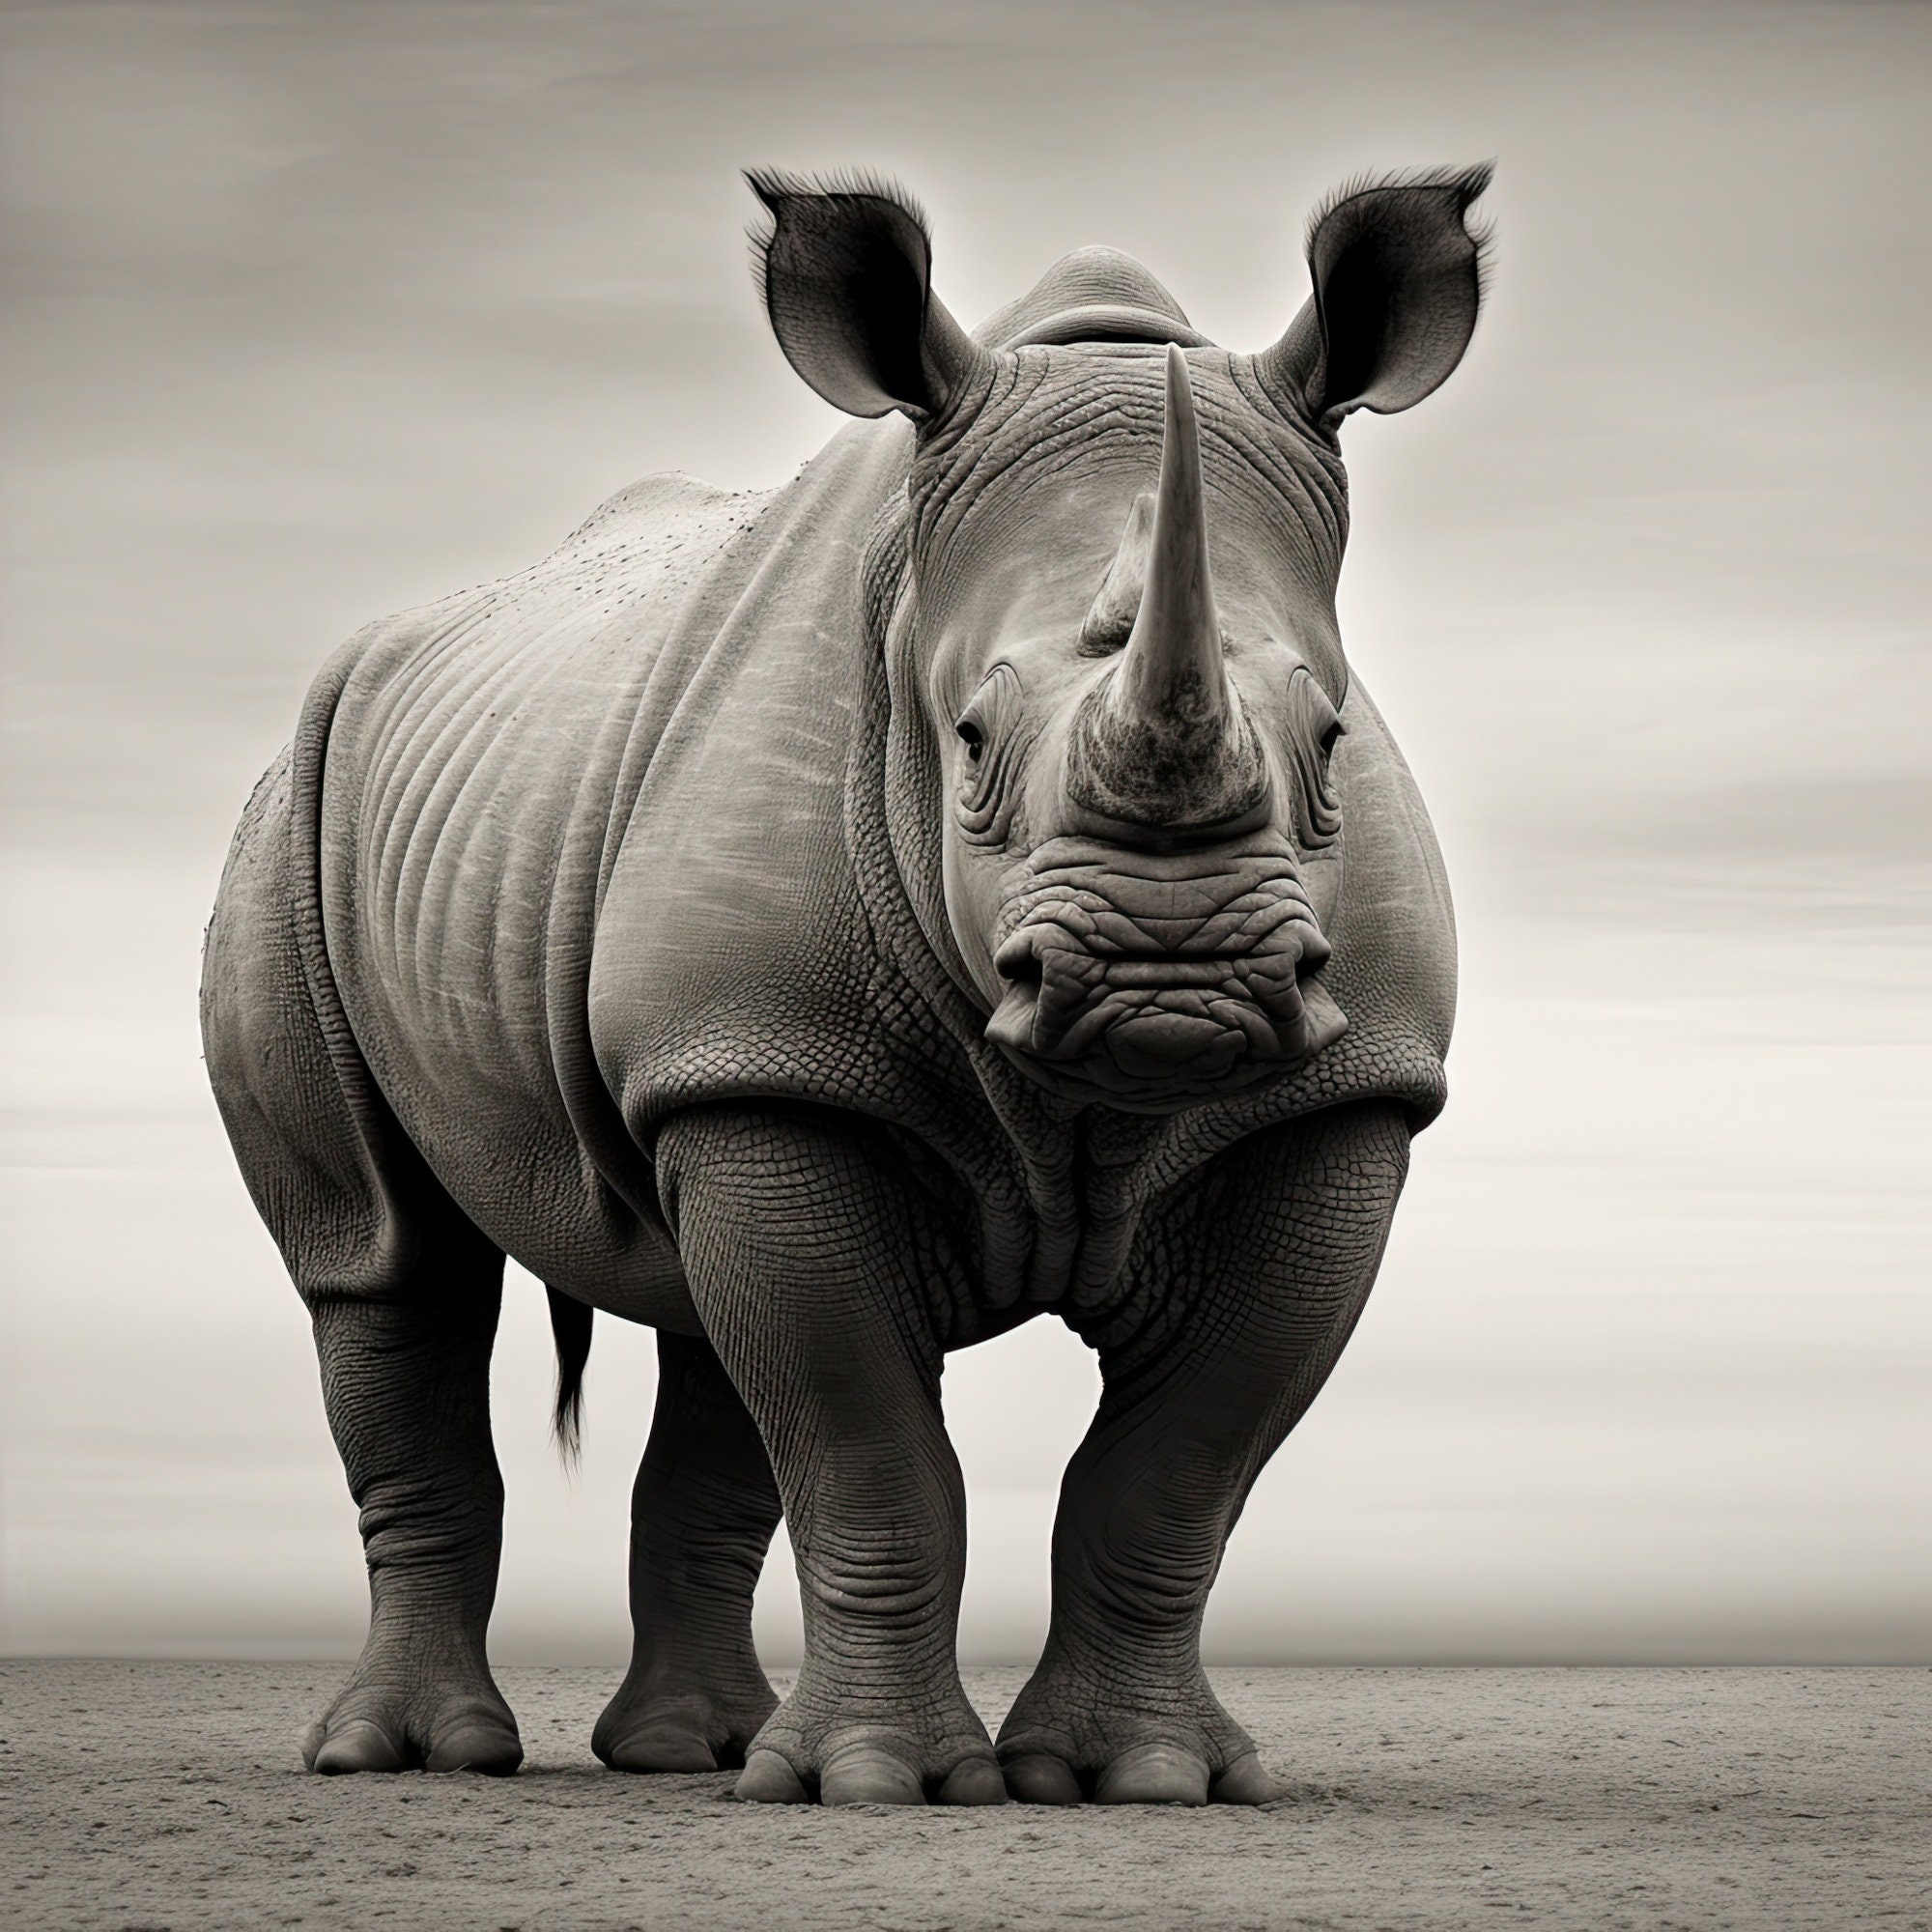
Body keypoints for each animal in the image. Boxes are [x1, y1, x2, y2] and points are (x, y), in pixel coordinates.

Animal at [200, 165, 1491, 1806]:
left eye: (1329, 739)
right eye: (968, 742)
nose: (1171, 972)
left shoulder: (1336, 1100)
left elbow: (1175, 1474)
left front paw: (1145, 1784)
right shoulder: (771, 1054)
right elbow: (865, 1442)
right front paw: (878, 1789)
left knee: (696, 1318)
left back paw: (689, 1755)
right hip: (294, 816)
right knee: (383, 1262)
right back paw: (411, 1759)